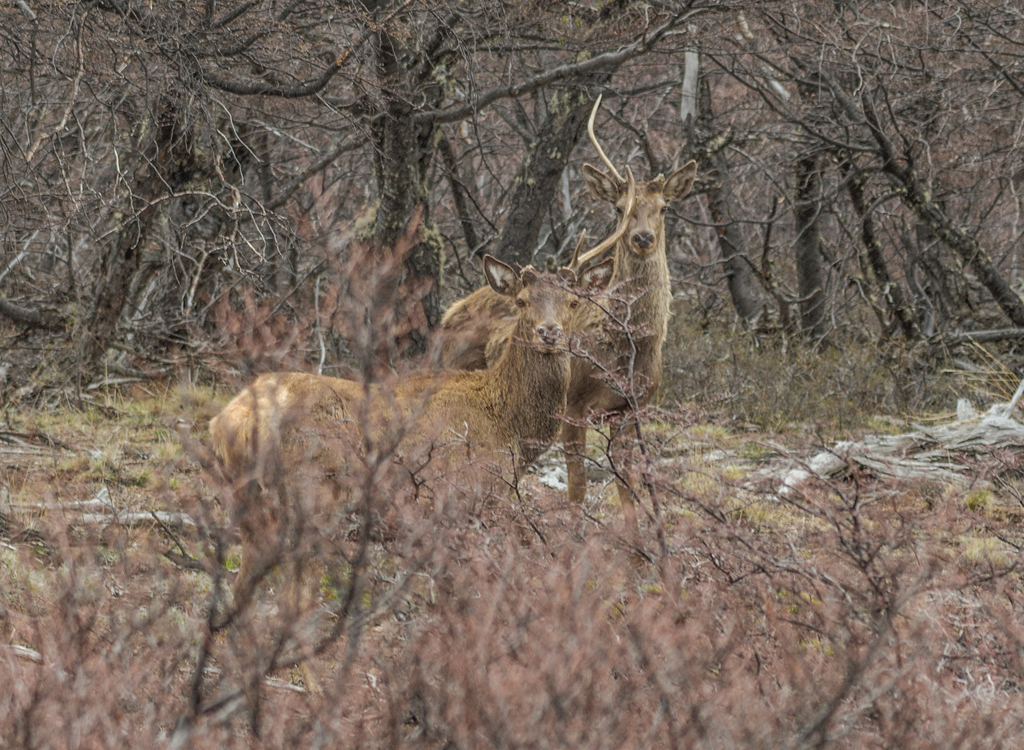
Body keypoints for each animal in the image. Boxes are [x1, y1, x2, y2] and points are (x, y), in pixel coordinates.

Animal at [439, 96, 698, 532]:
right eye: (619, 208)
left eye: (664, 208)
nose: (642, 237)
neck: (626, 349)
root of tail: (450, 311)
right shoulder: (573, 408)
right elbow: (577, 485)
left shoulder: (633, 409)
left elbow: (628, 485)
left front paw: (637, 544)